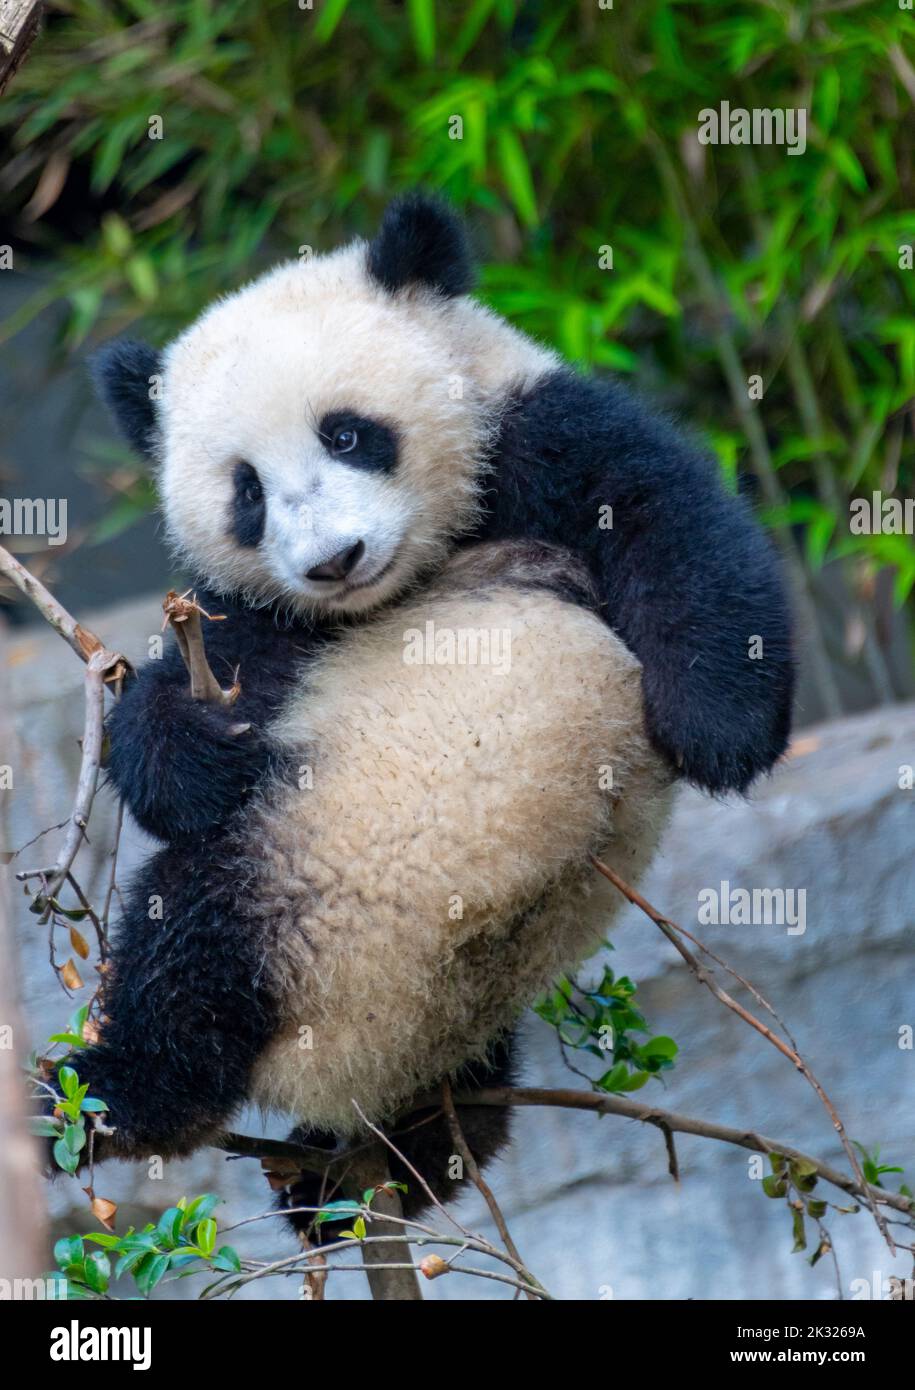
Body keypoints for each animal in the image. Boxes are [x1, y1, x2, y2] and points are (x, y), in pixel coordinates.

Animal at [45, 193, 791, 1233]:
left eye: (347, 434)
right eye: (246, 491)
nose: (333, 559)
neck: (409, 577)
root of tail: (354, 1065)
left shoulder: (536, 433)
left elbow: (668, 517)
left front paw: (719, 729)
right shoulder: (273, 619)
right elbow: (197, 695)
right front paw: (195, 745)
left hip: (325, 891)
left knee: (195, 944)